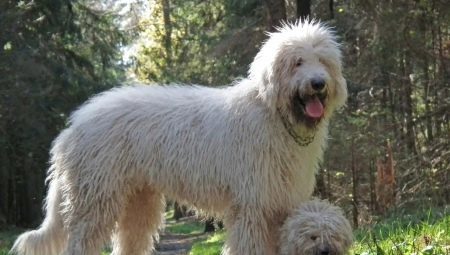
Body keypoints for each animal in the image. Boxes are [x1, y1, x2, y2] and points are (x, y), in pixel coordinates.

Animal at [11, 20, 348, 255]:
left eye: (323, 61)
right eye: (297, 62)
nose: (318, 83)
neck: (274, 115)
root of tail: (74, 124)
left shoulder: (280, 201)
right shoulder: (253, 205)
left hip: (138, 200)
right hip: (96, 197)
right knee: (82, 241)